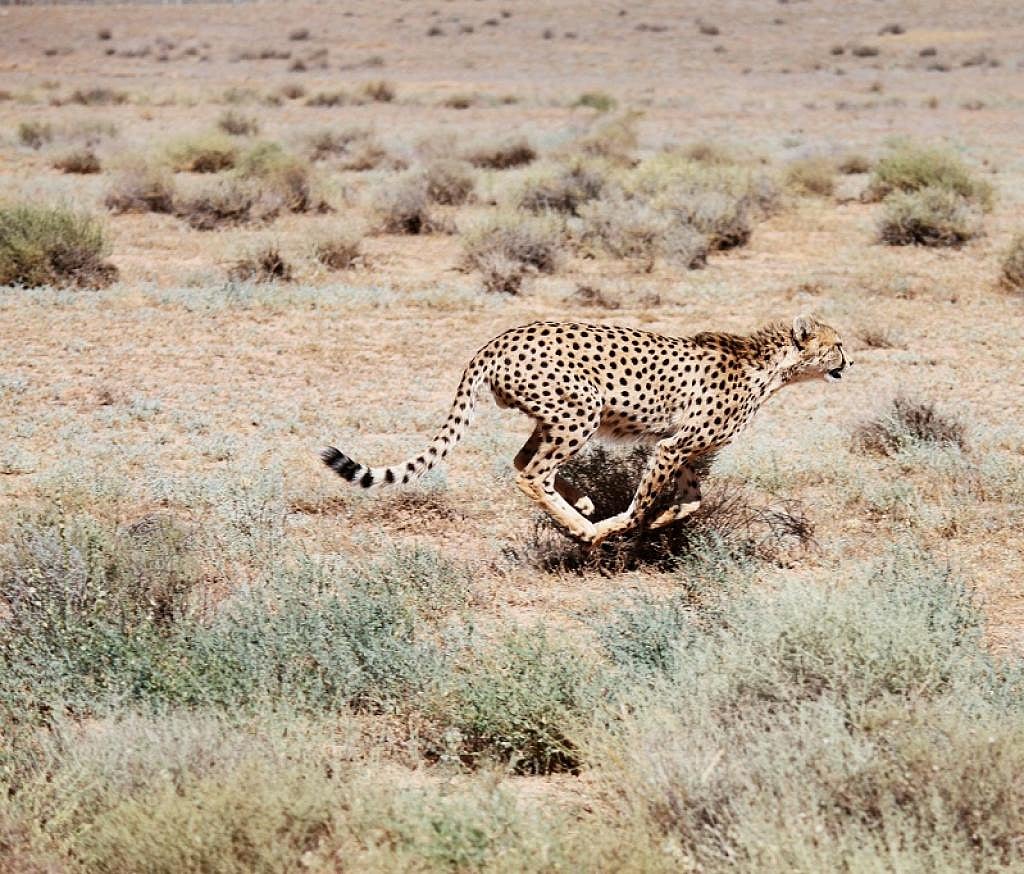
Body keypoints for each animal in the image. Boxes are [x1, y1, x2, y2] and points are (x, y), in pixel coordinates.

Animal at [322, 314, 851, 546]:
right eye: (837, 343)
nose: (850, 361)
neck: (769, 368)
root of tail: (497, 340)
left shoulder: (678, 448)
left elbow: (690, 502)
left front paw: (661, 520)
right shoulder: (673, 446)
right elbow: (640, 506)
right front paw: (617, 529)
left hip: (557, 415)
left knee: (524, 463)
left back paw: (580, 505)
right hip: (582, 412)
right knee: (531, 472)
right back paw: (584, 526)